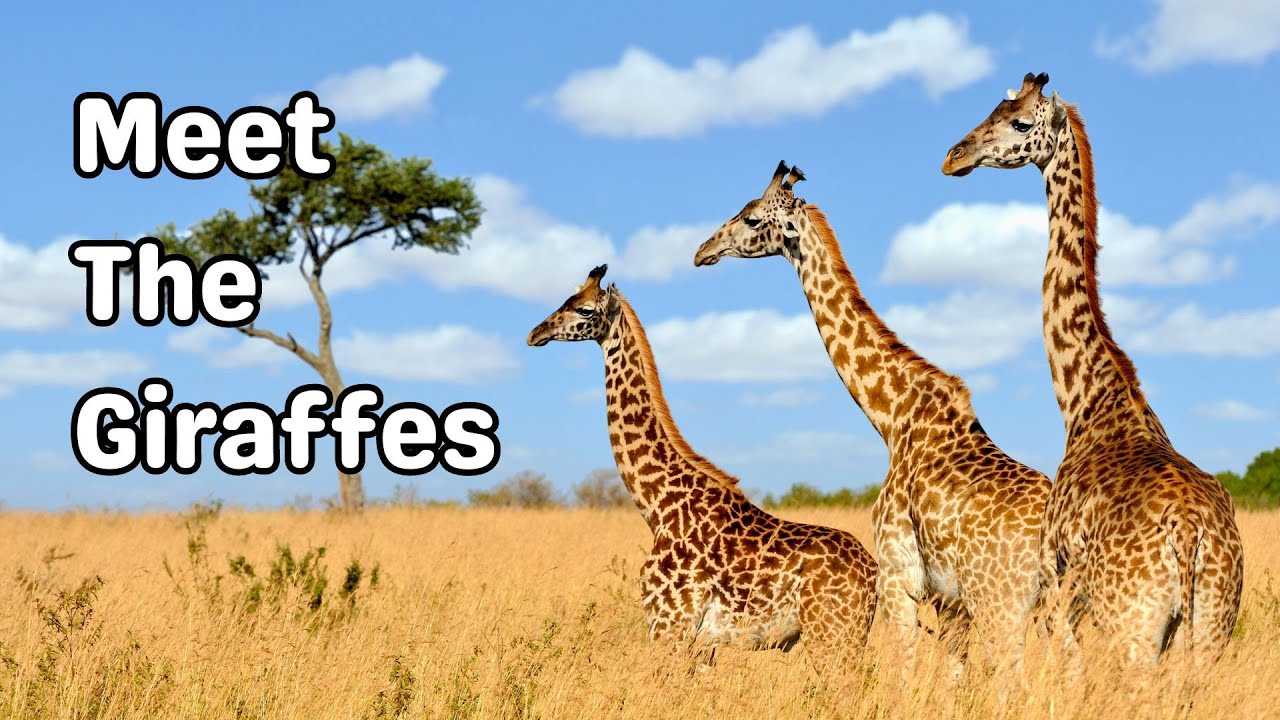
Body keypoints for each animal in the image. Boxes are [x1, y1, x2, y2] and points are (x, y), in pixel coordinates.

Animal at [527, 265, 878, 657]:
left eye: (585, 309)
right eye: (566, 300)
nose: (535, 333)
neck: (657, 505)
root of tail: (874, 574)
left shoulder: (669, 624)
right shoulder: (699, 644)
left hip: (832, 634)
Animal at [694, 162, 1052, 673]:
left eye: (750, 217)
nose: (702, 251)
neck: (893, 416)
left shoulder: (899, 579)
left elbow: (903, 672)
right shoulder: (948, 601)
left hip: (1001, 602)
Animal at [942, 72, 1244, 666]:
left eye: (1019, 122)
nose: (953, 157)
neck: (1086, 396)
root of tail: (1191, 533)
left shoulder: (1057, 578)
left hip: (1134, 627)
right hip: (1211, 628)